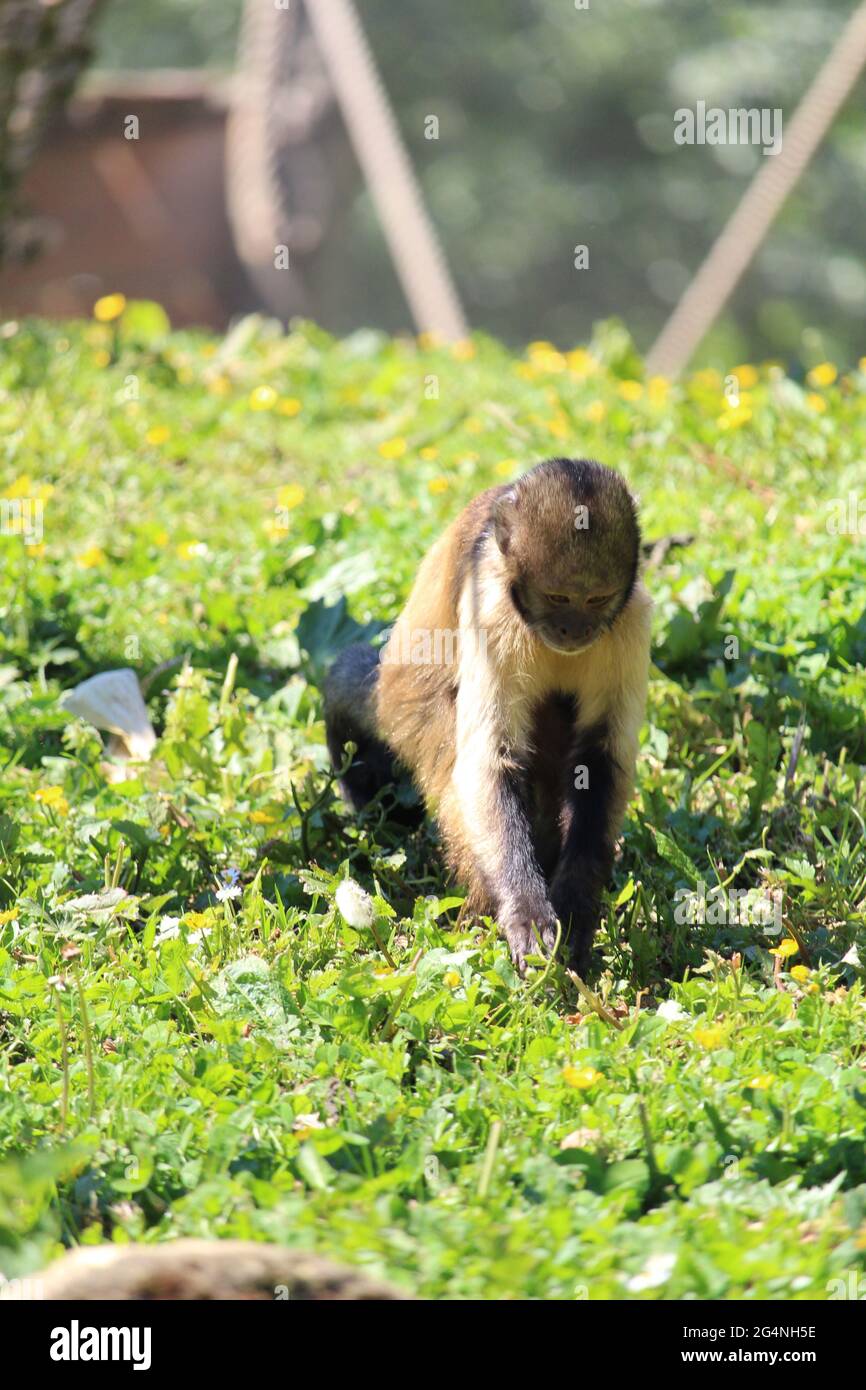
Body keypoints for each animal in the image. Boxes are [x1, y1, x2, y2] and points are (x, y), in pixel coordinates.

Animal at [323, 457, 652, 977]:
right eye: (558, 598)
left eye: (596, 600)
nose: (574, 629)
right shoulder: (493, 608)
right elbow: (490, 762)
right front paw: (526, 910)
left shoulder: (630, 617)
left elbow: (599, 763)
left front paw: (576, 906)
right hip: (406, 702)